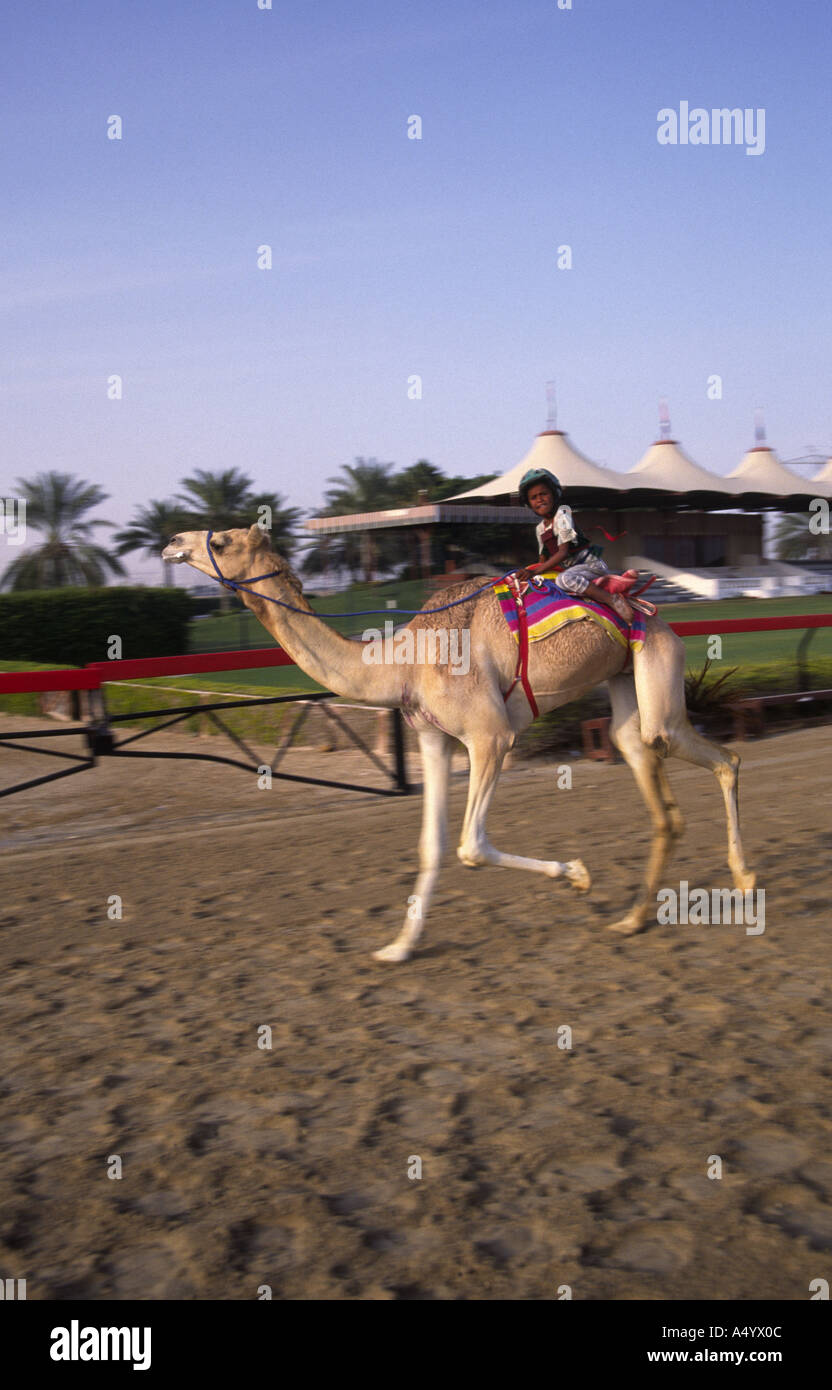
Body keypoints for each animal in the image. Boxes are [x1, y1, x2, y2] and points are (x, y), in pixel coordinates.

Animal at [161, 525, 755, 961]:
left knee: (719, 756)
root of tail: (650, 609)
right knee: (652, 779)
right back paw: (632, 920)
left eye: (221, 542)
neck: (401, 663)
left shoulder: (490, 736)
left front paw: (578, 875)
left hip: (656, 664)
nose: (171, 542)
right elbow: (433, 845)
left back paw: (745, 881)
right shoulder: (432, 737)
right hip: (625, 688)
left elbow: (471, 845)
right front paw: (397, 948)